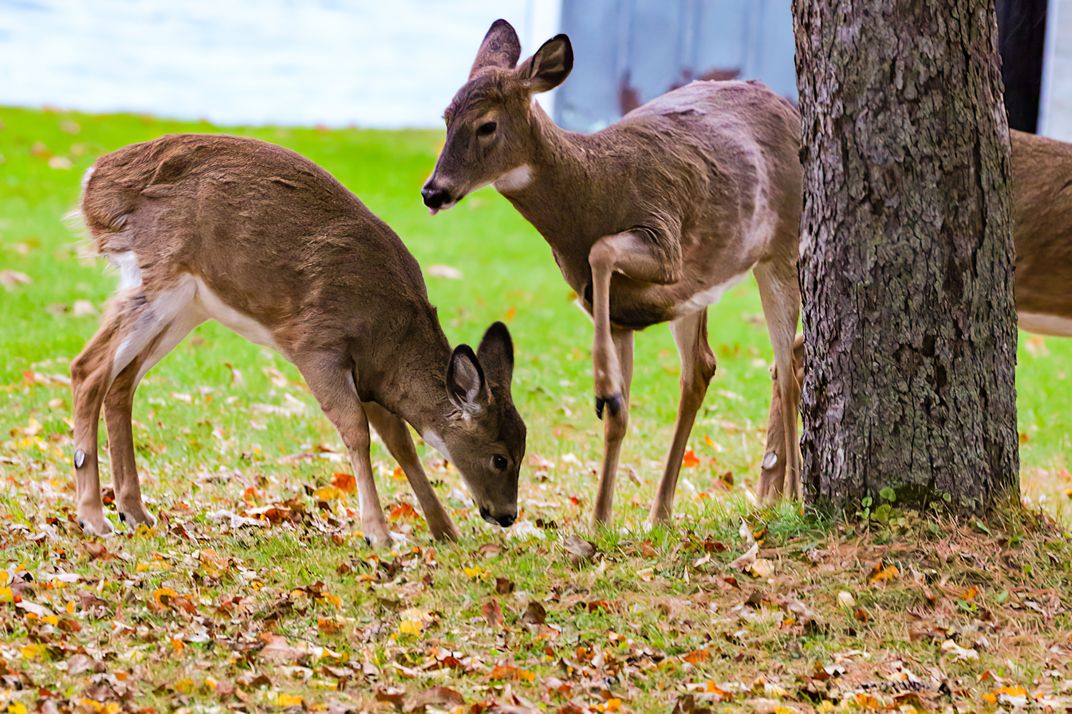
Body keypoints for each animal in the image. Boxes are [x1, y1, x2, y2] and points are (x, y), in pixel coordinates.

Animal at [71, 134, 526, 545]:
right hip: (160, 274)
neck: (391, 339)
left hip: (188, 306)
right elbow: (357, 433)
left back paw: (134, 512)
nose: (506, 515)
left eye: (522, 446)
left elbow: (402, 445)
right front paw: (378, 534)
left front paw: (445, 531)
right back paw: (94, 517)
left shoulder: (371, 379)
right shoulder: (316, 345)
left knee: (121, 383)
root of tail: (92, 180)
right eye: (499, 457)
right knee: (87, 368)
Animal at [421, 19, 803, 526]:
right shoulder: (621, 312)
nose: (433, 191)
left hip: (781, 249)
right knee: (702, 368)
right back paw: (661, 511)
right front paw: (600, 518)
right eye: (445, 118)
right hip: (699, 288)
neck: (593, 192)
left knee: (787, 365)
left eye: (487, 125)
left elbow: (602, 252)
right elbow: (620, 416)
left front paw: (602, 388)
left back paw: (795, 495)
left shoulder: (665, 239)